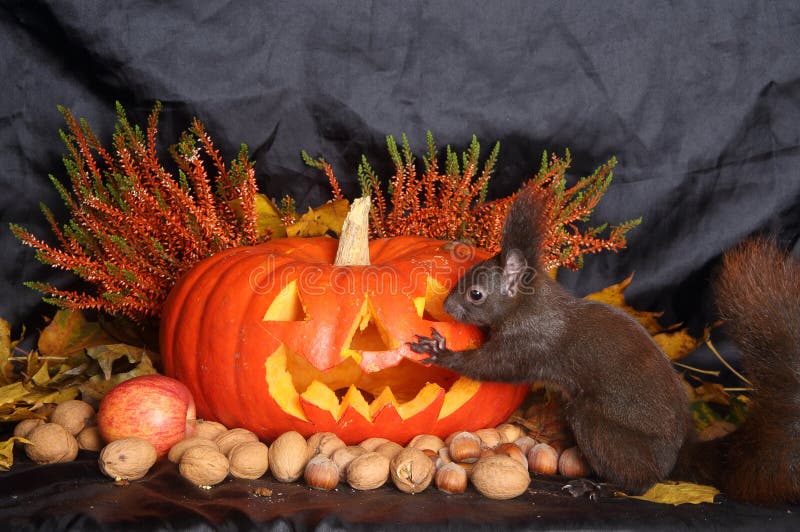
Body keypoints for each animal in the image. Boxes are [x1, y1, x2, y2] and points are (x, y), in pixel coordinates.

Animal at [409, 184, 800, 505]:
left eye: (475, 294)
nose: (447, 308)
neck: (527, 303)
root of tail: (678, 456)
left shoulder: (531, 342)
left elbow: (492, 366)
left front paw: (440, 352)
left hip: (601, 428)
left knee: (641, 481)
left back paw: (598, 487)